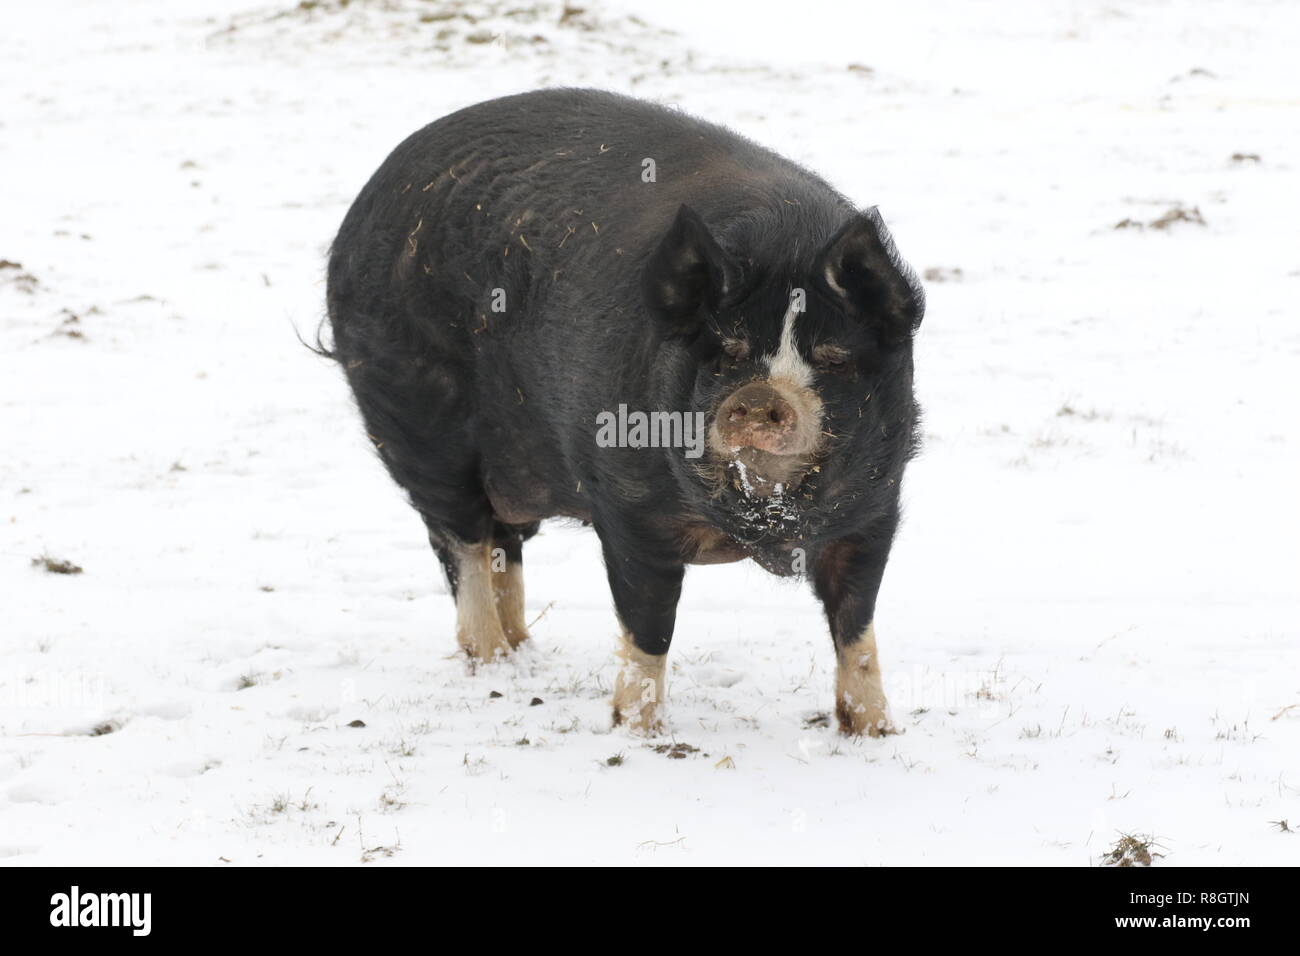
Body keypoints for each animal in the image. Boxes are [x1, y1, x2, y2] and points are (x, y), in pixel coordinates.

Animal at [326, 88, 925, 736]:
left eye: (834, 357)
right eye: (727, 351)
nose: (760, 397)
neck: (761, 515)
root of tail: (365, 204)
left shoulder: (877, 508)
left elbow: (856, 625)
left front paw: (877, 733)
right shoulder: (628, 506)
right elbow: (649, 623)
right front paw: (638, 731)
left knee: (501, 547)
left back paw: (523, 655)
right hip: (420, 429)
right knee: (463, 546)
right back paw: (493, 665)